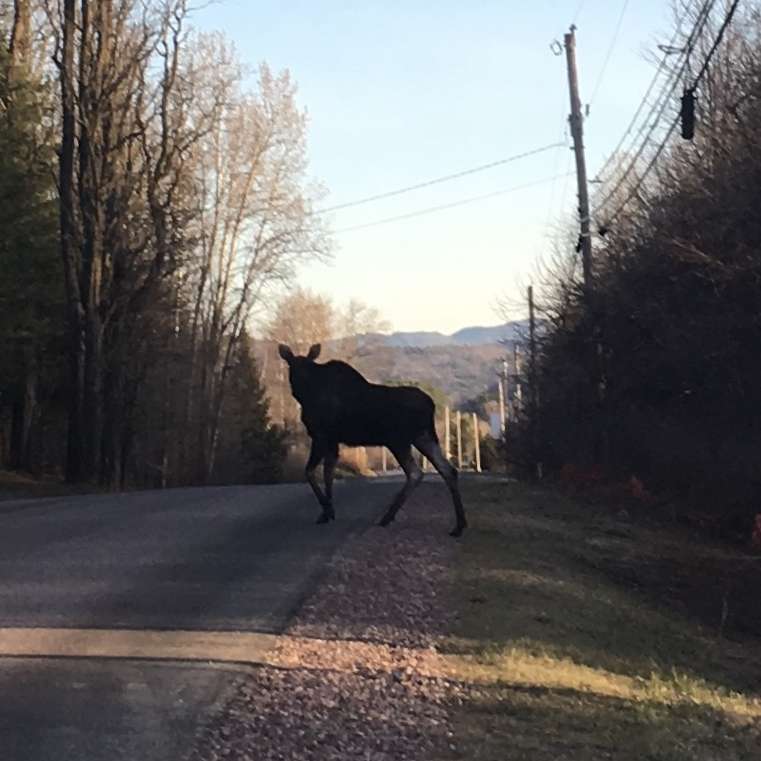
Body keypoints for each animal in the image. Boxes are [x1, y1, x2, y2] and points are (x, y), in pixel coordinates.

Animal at [278, 343, 467, 537]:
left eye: (301, 367)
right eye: (292, 366)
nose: (298, 386)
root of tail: (432, 405)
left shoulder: (321, 436)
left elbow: (309, 471)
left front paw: (327, 511)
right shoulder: (332, 441)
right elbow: (327, 473)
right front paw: (327, 512)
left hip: (399, 440)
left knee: (416, 473)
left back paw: (387, 517)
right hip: (423, 437)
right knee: (447, 470)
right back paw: (459, 525)